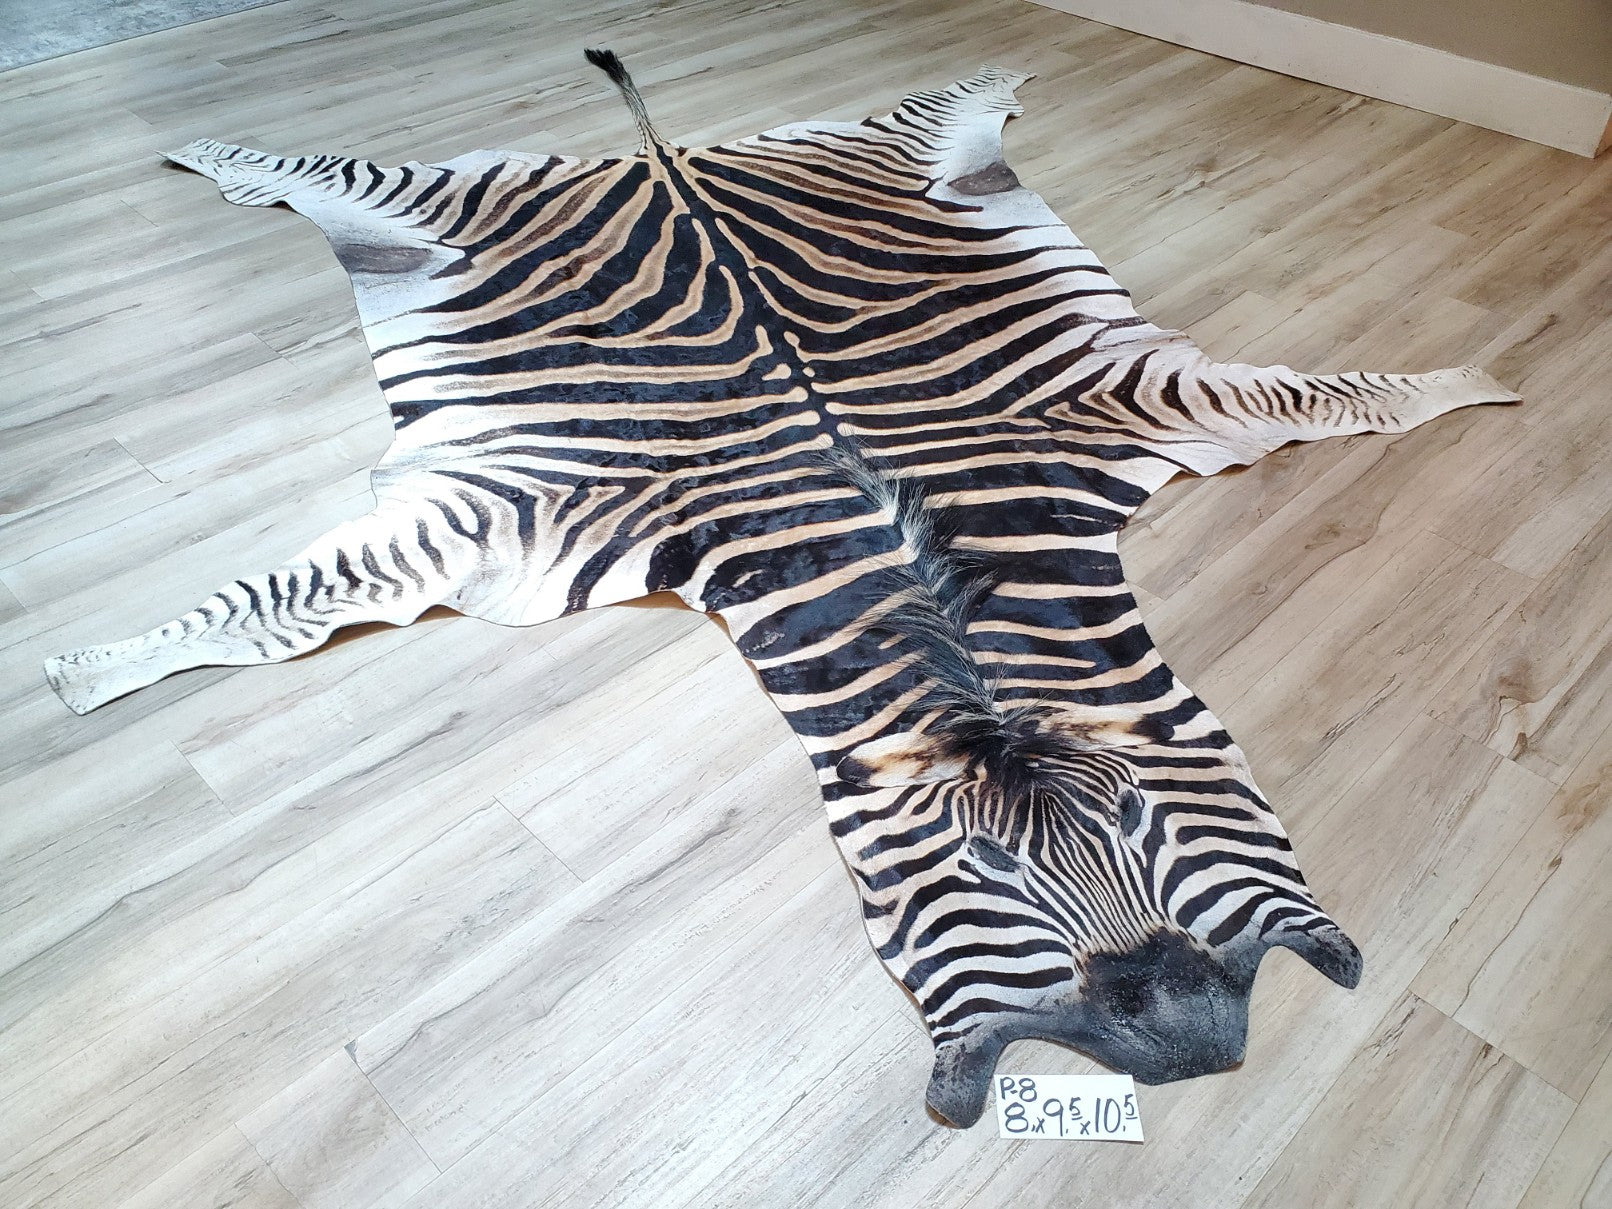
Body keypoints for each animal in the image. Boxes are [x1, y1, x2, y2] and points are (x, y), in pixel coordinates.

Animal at [43, 51, 1520, 1127]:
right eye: (980, 870)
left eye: (1142, 826)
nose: (1203, 1043)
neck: (914, 563)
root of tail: (669, 156)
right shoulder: (519, 520)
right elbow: (275, 602)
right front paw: (86, 668)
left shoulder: (1121, 408)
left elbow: (1345, 395)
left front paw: (1481, 383)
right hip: (451, 208)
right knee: (334, 177)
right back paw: (214, 157)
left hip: (889, 162)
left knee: (941, 112)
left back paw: (999, 80)